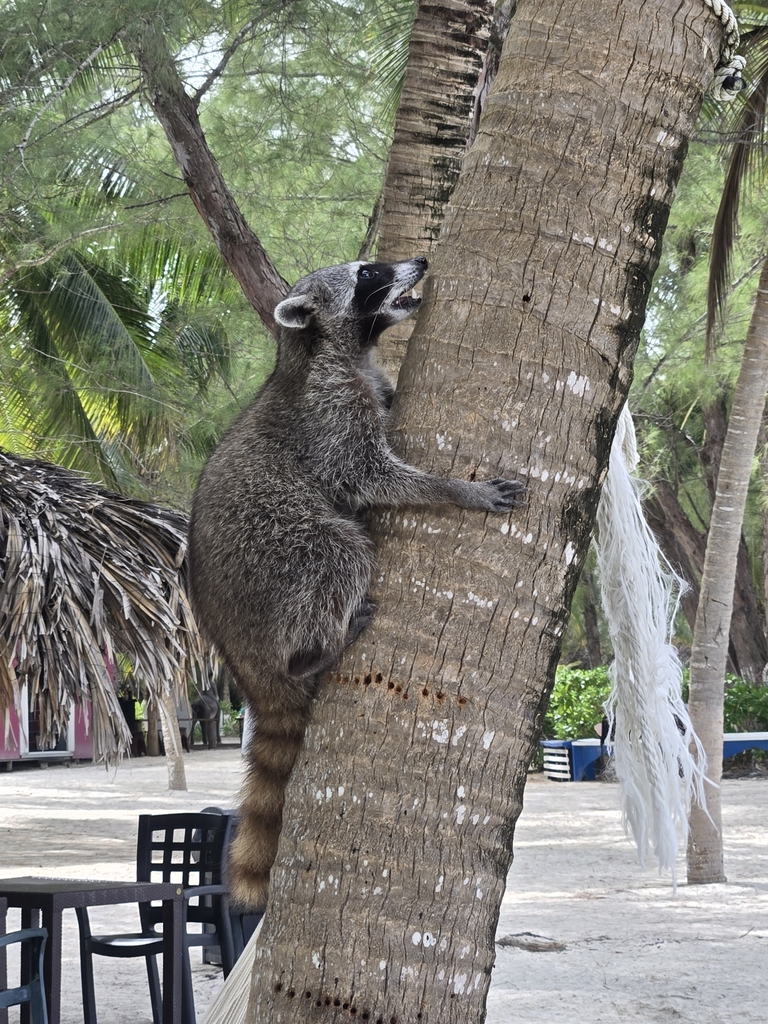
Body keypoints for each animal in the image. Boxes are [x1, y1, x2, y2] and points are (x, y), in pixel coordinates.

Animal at [188, 256, 525, 908]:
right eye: (368, 272)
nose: (421, 261)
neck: (318, 351)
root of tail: (245, 663)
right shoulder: (329, 412)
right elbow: (369, 475)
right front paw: (455, 489)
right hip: (271, 555)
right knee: (336, 551)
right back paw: (313, 653)